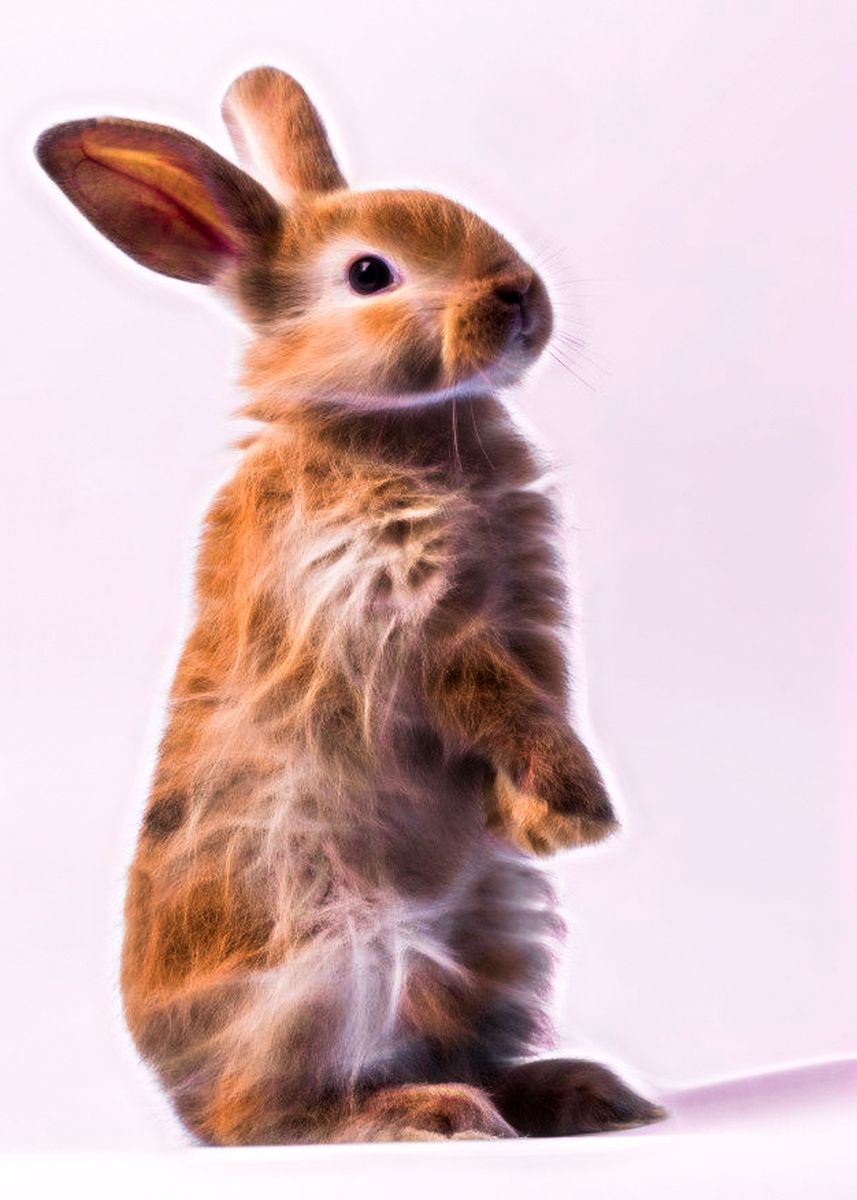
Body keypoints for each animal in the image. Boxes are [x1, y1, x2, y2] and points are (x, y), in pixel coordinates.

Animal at [36, 66, 664, 1145]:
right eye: (369, 275)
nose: (516, 294)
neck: (387, 428)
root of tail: (181, 1101)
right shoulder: (409, 621)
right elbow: (495, 701)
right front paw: (578, 816)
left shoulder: (528, 616)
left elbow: (535, 698)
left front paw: (537, 823)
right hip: (340, 953)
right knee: (273, 1117)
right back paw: (425, 1116)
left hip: (499, 938)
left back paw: (579, 1094)